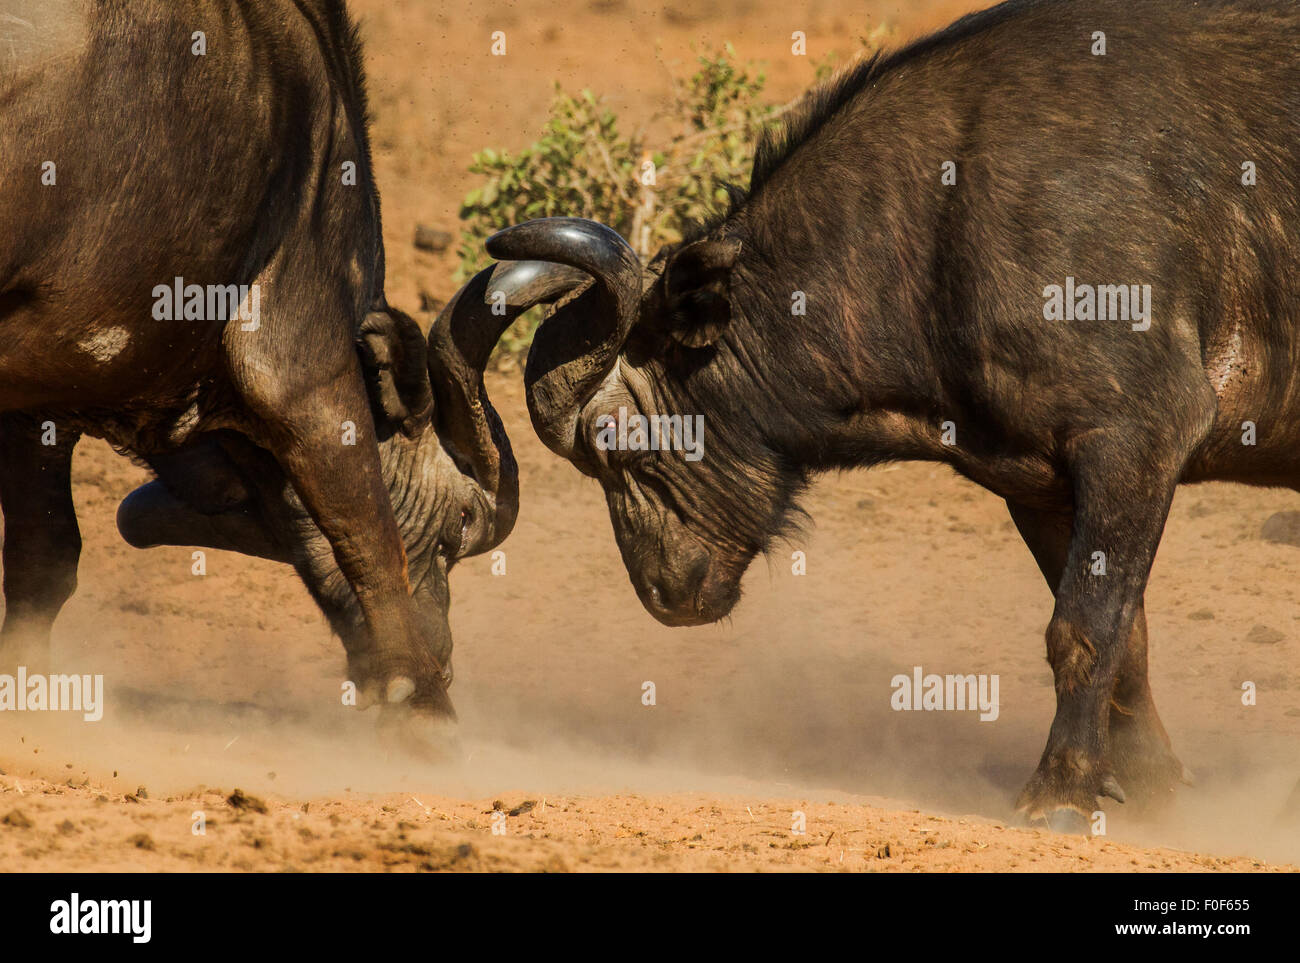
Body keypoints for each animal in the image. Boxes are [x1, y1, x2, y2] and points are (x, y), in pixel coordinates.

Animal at [486, 0, 1300, 820]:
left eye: (612, 437)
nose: (660, 592)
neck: (942, 221)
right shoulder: (1041, 482)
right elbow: (1124, 640)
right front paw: (1152, 784)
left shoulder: (1135, 438)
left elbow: (1083, 627)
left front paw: (1062, 789)